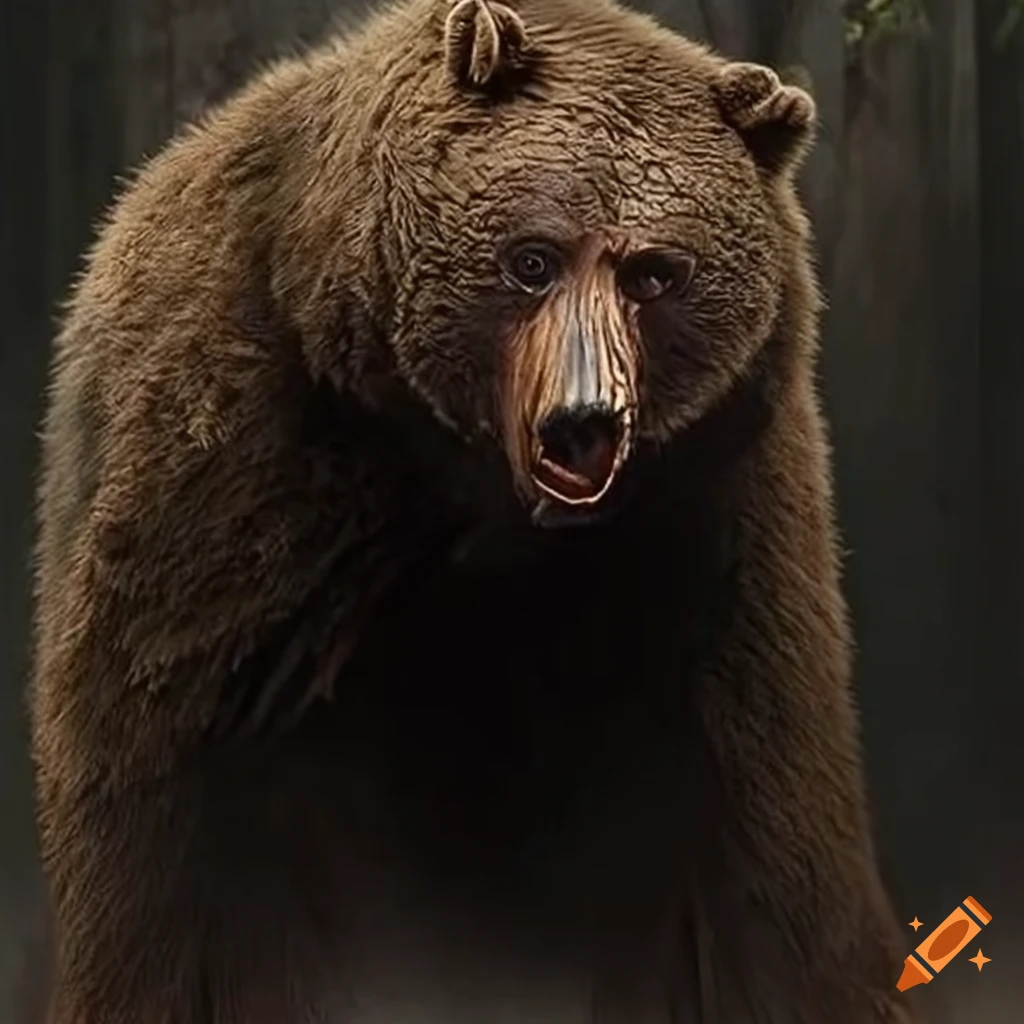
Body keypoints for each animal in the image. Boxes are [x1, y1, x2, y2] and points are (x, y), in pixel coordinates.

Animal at [30, 0, 920, 1021]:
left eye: (655, 272)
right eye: (532, 258)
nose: (583, 421)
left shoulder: (719, 510)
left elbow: (761, 814)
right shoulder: (236, 467)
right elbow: (176, 774)